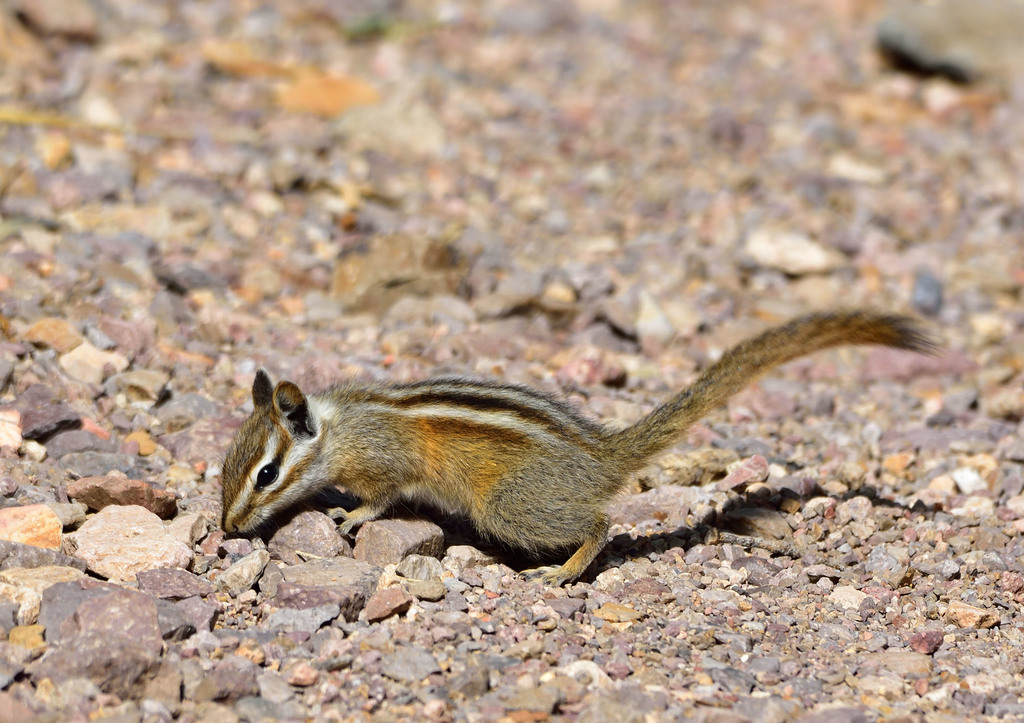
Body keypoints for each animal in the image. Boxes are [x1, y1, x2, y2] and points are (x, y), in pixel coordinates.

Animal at [220, 311, 937, 585]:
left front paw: (352, 515)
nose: (227, 529)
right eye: (226, 468)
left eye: (267, 473)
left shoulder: (385, 460)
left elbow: (383, 496)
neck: (338, 428)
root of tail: (600, 454)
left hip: (508, 507)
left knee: (602, 523)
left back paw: (565, 571)